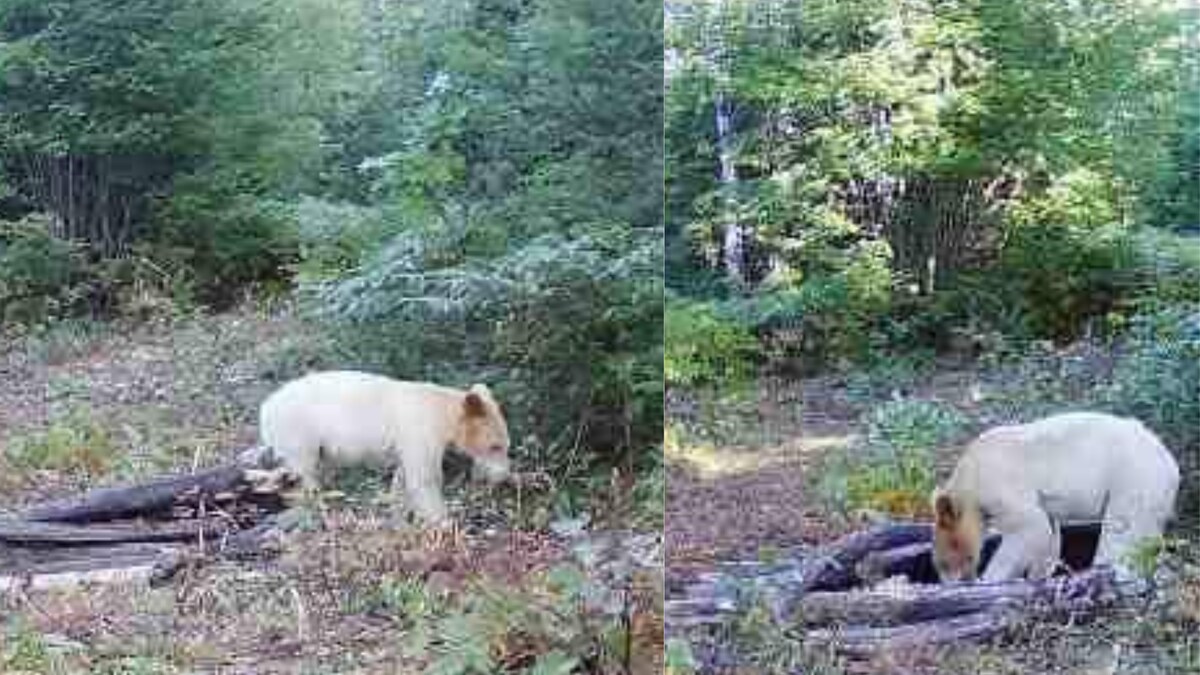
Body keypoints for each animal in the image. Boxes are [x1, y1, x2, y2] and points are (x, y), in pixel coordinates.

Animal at [257, 370, 512, 525]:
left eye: (506, 445)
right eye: (495, 446)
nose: (504, 476)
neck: (443, 413)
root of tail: (266, 407)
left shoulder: (408, 442)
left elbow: (403, 475)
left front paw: (399, 510)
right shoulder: (419, 430)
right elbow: (424, 478)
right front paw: (443, 521)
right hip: (299, 431)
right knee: (306, 470)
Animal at [931, 411, 1179, 583]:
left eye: (944, 561)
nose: (949, 582)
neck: (969, 475)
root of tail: (1171, 464)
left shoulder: (998, 484)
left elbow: (1030, 527)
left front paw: (989, 579)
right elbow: (1049, 533)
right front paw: (1038, 575)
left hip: (1132, 477)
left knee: (1119, 531)